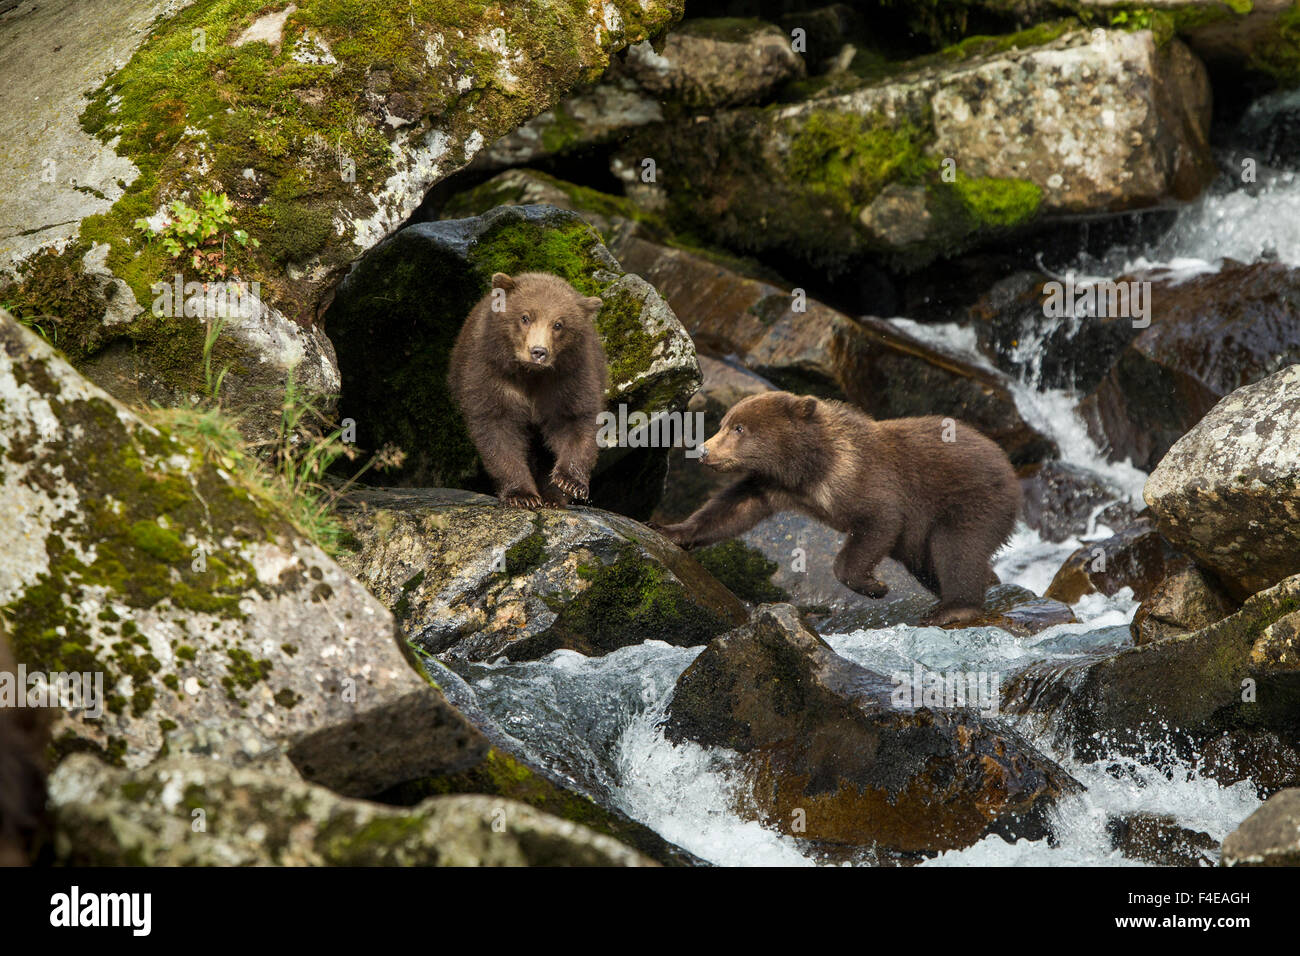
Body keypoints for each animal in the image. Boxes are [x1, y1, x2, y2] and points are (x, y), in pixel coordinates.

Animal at [449, 271, 608, 508]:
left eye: (558, 324)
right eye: (525, 317)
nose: (538, 352)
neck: (531, 374)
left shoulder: (568, 378)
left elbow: (576, 421)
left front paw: (569, 482)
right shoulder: (492, 375)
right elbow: (497, 429)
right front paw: (522, 495)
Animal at [655, 391, 1020, 626]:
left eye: (739, 428)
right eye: (725, 423)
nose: (704, 450)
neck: (810, 469)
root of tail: (1008, 467)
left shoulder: (866, 480)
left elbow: (879, 521)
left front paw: (875, 586)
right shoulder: (772, 485)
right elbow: (732, 509)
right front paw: (671, 530)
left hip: (971, 500)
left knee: (956, 549)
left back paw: (953, 608)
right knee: (929, 561)